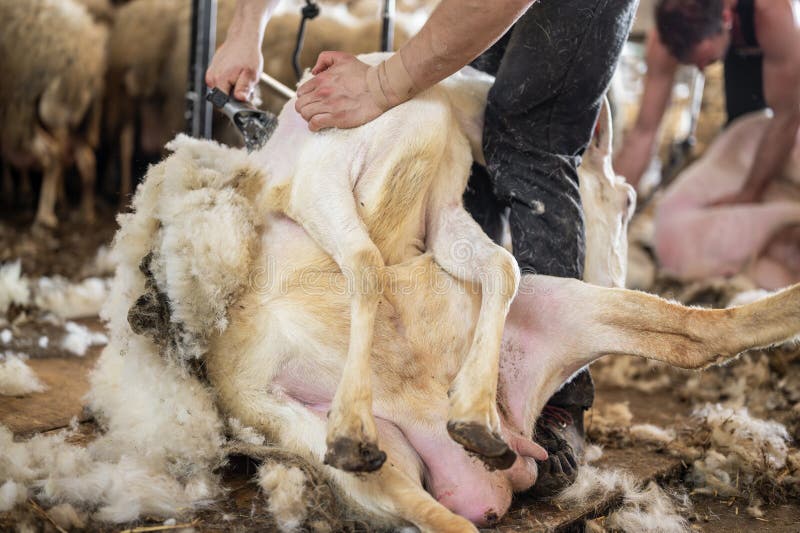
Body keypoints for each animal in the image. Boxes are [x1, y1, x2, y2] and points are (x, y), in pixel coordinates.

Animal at [0, 0, 108, 228]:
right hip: (74, 117)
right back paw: (84, 213)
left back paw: (45, 216)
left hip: (45, 106)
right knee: (86, 160)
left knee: (52, 155)